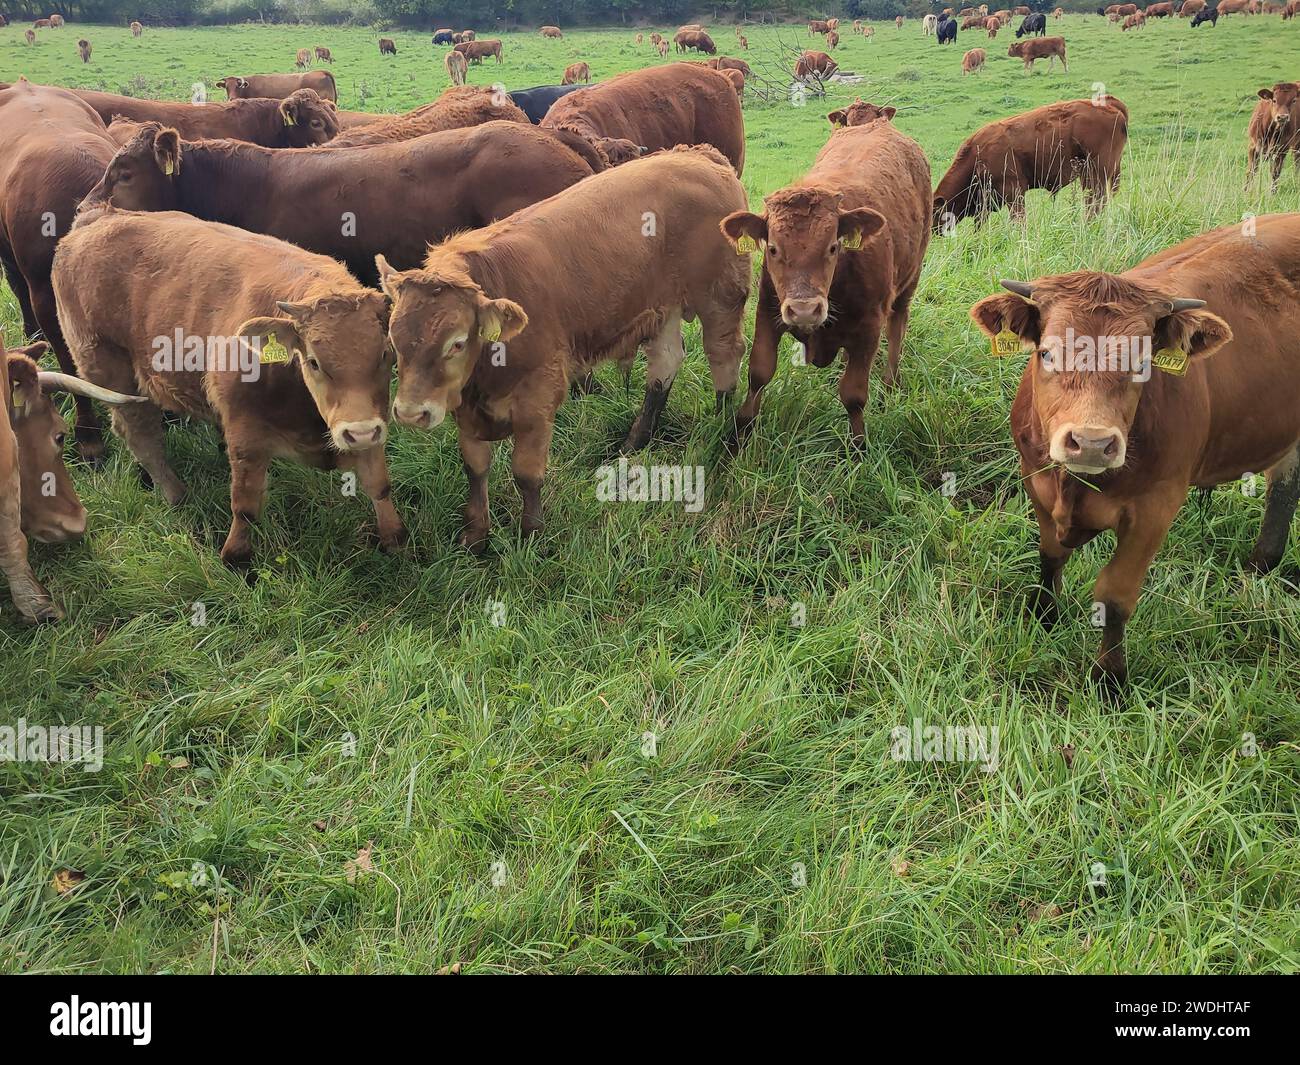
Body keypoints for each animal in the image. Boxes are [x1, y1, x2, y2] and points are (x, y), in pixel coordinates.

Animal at [53, 208, 403, 567]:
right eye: (314, 362)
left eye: (386, 353)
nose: (359, 432)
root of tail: (99, 216)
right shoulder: (245, 434)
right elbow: (245, 505)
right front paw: (236, 558)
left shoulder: (368, 420)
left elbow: (379, 484)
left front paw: (394, 539)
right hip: (110, 370)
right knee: (141, 434)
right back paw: (177, 495)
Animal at [378, 146, 749, 549]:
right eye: (392, 341)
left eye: (457, 343)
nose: (410, 414)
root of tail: (699, 156)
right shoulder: (464, 407)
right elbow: (474, 468)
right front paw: (475, 533)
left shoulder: (539, 394)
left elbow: (526, 473)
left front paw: (531, 533)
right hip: (663, 306)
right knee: (665, 363)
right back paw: (634, 442)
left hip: (720, 294)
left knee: (724, 354)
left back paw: (722, 431)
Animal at [720, 106, 930, 452]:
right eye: (773, 248)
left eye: (833, 246)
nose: (805, 310)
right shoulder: (768, 312)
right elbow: (759, 373)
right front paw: (740, 434)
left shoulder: (869, 328)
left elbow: (854, 394)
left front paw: (858, 447)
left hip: (908, 282)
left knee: (898, 327)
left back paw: (890, 385)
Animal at [934, 95, 1128, 224]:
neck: (976, 156)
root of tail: (1110, 105)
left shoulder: (1013, 191)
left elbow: (1018, 220)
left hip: (1095, 173)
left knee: (1095, 201)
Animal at [970, 215, 1300, 686]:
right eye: (1047, 354)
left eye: (1143, 363)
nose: (1091, 441)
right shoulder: (1034, 479)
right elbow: (1050, 557)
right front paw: (1043, 618)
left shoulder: (1155, 507)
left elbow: (1115, 597)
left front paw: (1109, 678)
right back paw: (1258, 571)